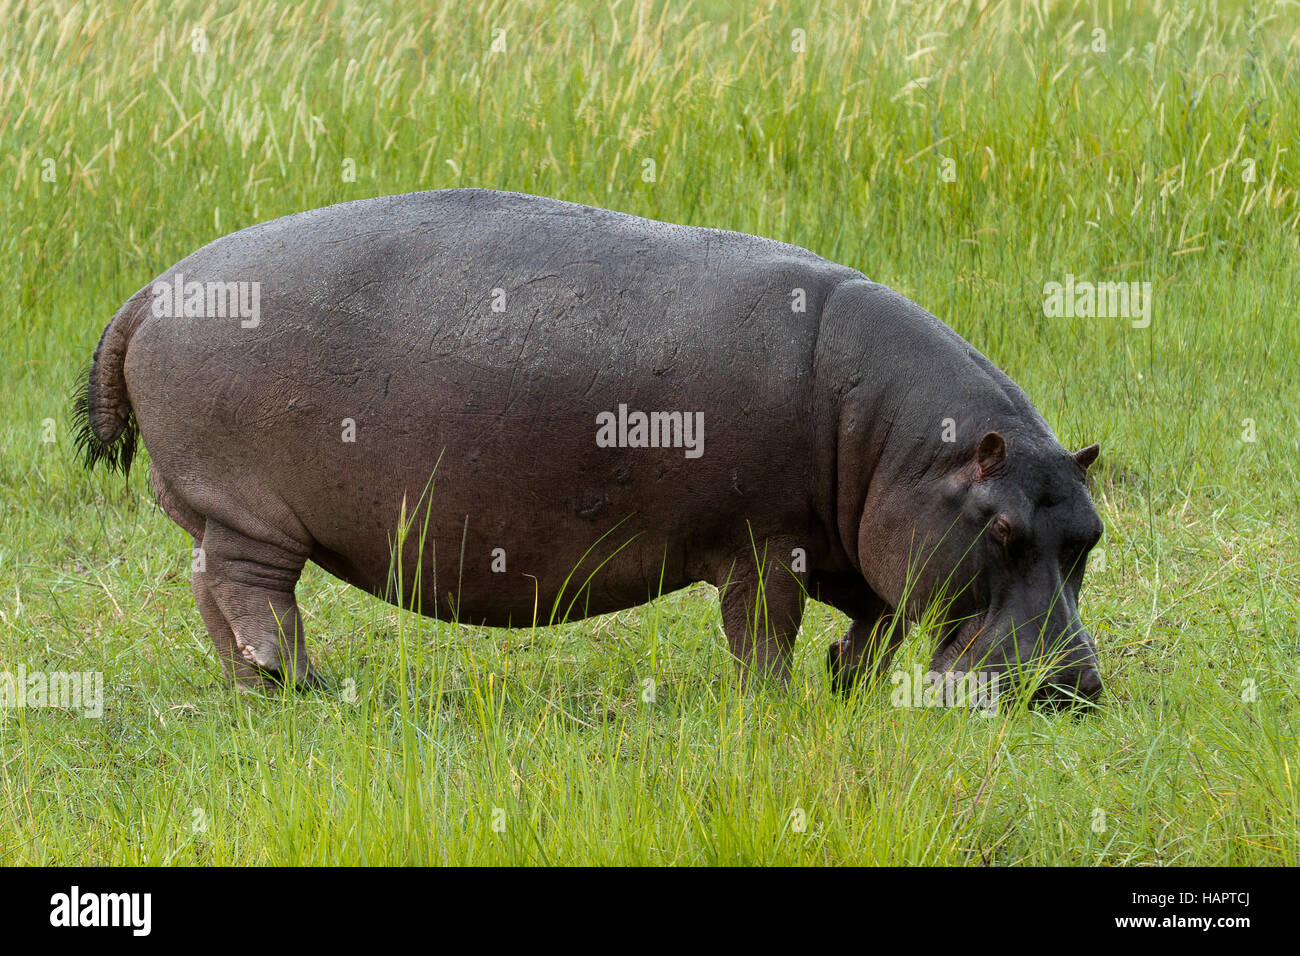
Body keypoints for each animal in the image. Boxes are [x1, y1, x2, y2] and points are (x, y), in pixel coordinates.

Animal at [74, 188, 1104, 705]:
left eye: (1091, 536)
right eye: (1002, 532)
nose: (1074, 689)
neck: (898, 445)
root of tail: (151, 289)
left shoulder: (858, 538)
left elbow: (880, 617)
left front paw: (846, 686)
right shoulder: (767, 542)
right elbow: (763, 630)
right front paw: (776, 705)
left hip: (215, 511)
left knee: (212, 591)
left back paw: (264, 688)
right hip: (249, 510)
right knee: (249, 592)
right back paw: (299, 685)